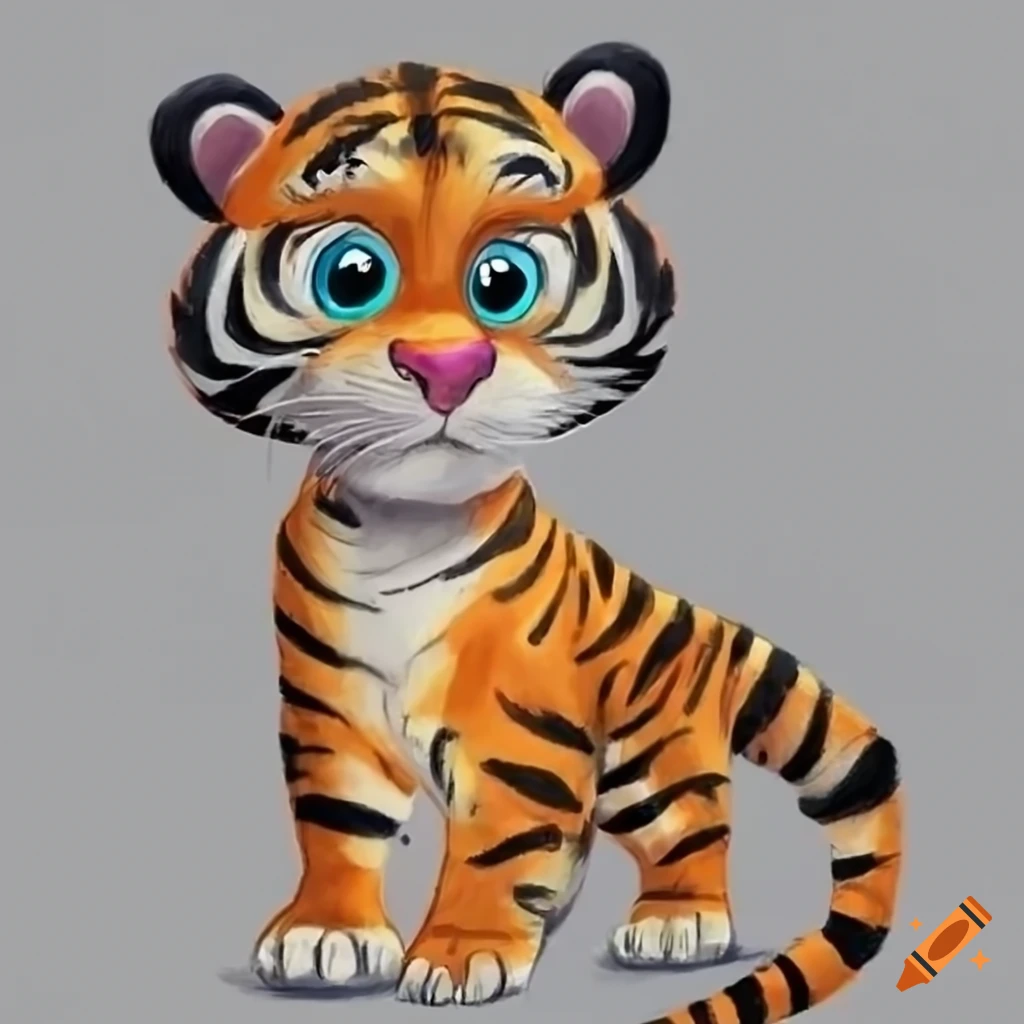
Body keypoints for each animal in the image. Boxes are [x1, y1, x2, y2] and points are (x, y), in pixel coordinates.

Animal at [148, 42, 903, 1023]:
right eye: (352, 276)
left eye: (503, 281)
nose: (447, 367)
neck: (398, 529)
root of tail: (689, 619)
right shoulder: (328, 709)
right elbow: (337, 823)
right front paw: (327, 934)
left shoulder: (517, 731)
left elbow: (502, 840)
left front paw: (461, 953)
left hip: (653, 759)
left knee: (693, 827)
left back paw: (678, 921)